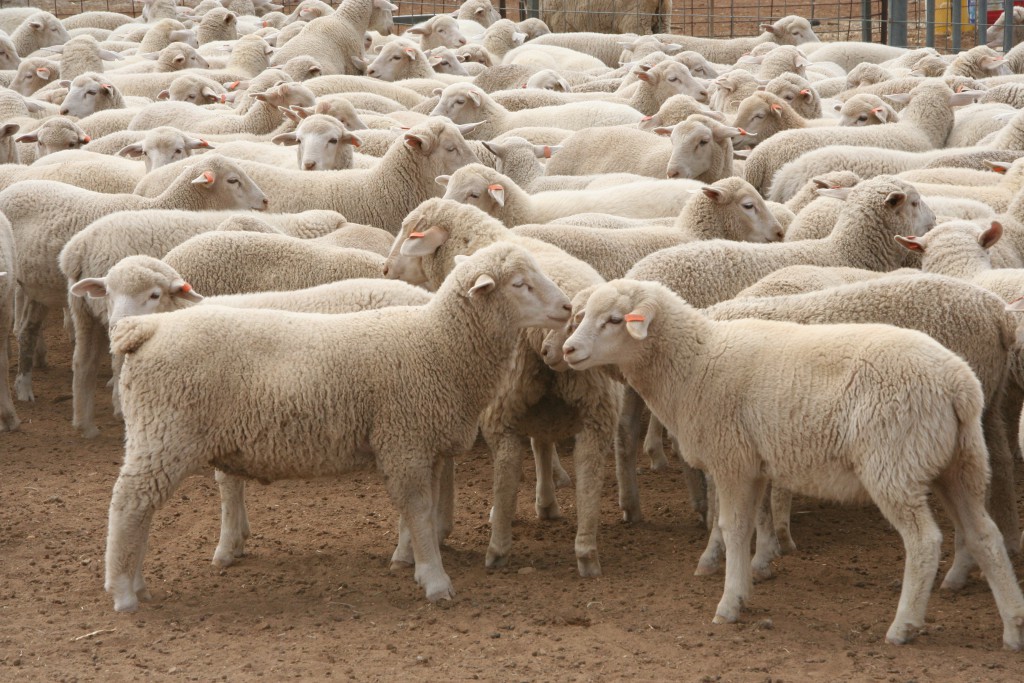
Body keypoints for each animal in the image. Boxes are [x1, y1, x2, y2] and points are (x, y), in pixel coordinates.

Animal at [4, 155, 268, 407]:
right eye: (233, 180)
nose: (265, 201)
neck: (164, 205)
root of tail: (77, 249)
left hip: (40, 289)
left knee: (28, 331)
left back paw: (25, 383)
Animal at [103, 241, 571, 611]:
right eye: (519, 284)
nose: (567, 307)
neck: (438, 343)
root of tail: (147, 328)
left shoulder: (424, 442)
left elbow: (422, 509)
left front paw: (413, 560)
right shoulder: (404, 438)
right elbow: (419, 509)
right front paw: (436, 581)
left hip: (158, 435)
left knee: (139, 507)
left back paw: (137, 585)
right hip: (166, 433)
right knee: (129, 504)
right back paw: (123, 592)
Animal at [383, 197, 620, 579]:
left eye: (410, 231)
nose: (386, 268)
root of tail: (559, 332)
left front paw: (444, 525)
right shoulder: (542, 407)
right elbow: (542, 444)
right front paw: (547, 503)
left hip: (506, 400)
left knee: (507, 464)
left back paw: (498, 546)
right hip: (597, 402)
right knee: (589, 471)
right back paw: (586, 553)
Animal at [560, 277, 1024, 650]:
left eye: (615, 319)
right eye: (582, 315)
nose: (568, 349)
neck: (696, 363)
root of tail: (958, 384)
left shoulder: (732, 460)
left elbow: (733, 528)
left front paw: (729, 602)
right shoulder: (756, 463)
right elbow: (753, 524)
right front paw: (750, 579)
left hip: (893, 465)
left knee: (925, 541)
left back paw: (904, 625)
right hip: (959, 464)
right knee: (985, 536)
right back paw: (1013, 627)